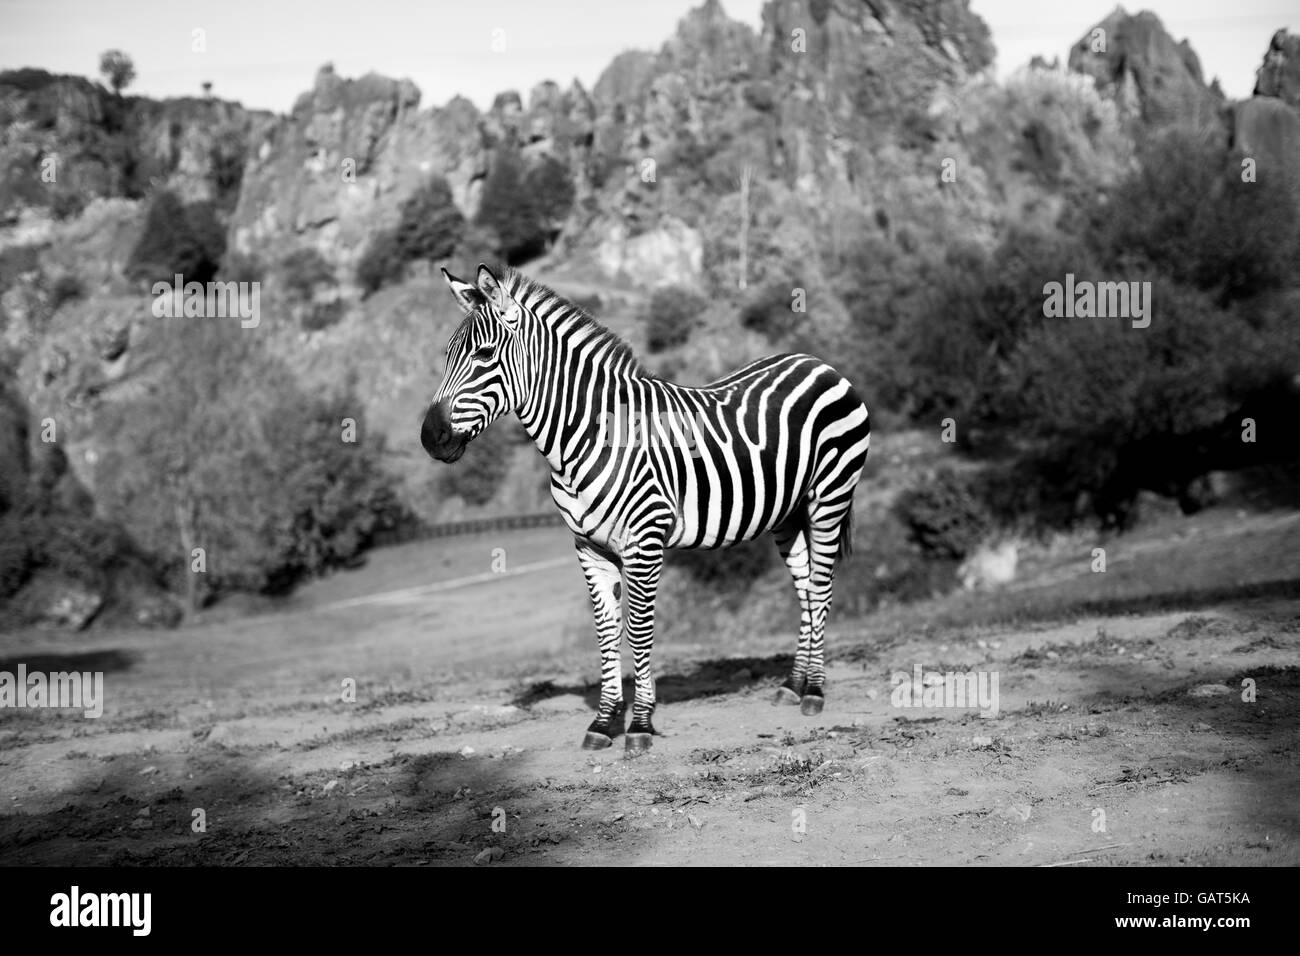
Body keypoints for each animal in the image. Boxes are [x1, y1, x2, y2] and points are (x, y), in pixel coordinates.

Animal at [422, 264, 871, 753]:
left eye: (484, 355)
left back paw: (814, 692)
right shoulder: (589, 547)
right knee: (805, 587)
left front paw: (638, 725)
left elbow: (638, 628)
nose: (430, 438)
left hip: (830, 494)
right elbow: (605, 631)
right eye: (447, 356)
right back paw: (792, 685)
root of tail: (815, 361)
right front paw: (604, 723)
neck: (589, 438)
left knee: (822, 587)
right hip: (787, 514)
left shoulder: (644, 541)